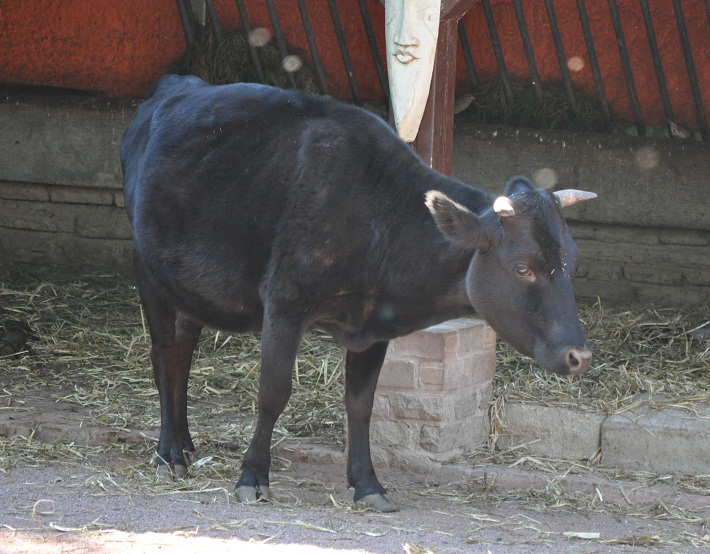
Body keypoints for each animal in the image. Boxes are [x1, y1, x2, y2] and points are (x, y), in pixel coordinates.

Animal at [121, 74, 596, 512]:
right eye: (523, 268)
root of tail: (178, 84)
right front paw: (253, 476)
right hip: (147, 269)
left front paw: (367, 484)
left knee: (184, 353)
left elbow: (361, 404)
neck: (375, 218)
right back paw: (169, 453)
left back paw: (186, 442)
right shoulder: (284, 305)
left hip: (189, 285)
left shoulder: (374, 327)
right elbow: (273, 393)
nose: (579, 356)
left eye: (572, 264)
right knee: (164, 356)